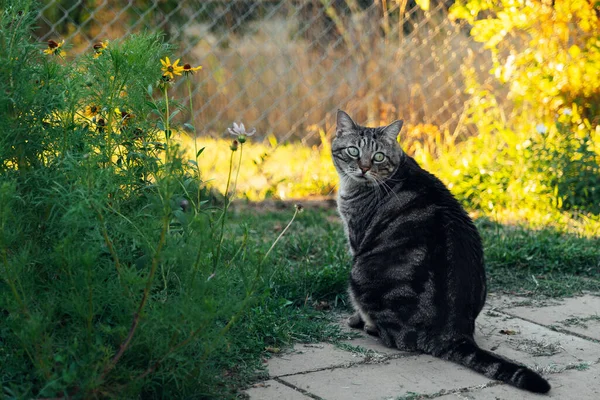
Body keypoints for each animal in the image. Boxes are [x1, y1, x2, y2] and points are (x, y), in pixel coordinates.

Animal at [330, 110, 552, 394]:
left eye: (378, 156)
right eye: (353, 151)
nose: (364, 167)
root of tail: (453, 332)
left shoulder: (355, 239)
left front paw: (357, 320)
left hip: (359, 271)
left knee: (393, 337)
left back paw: (371, 328)